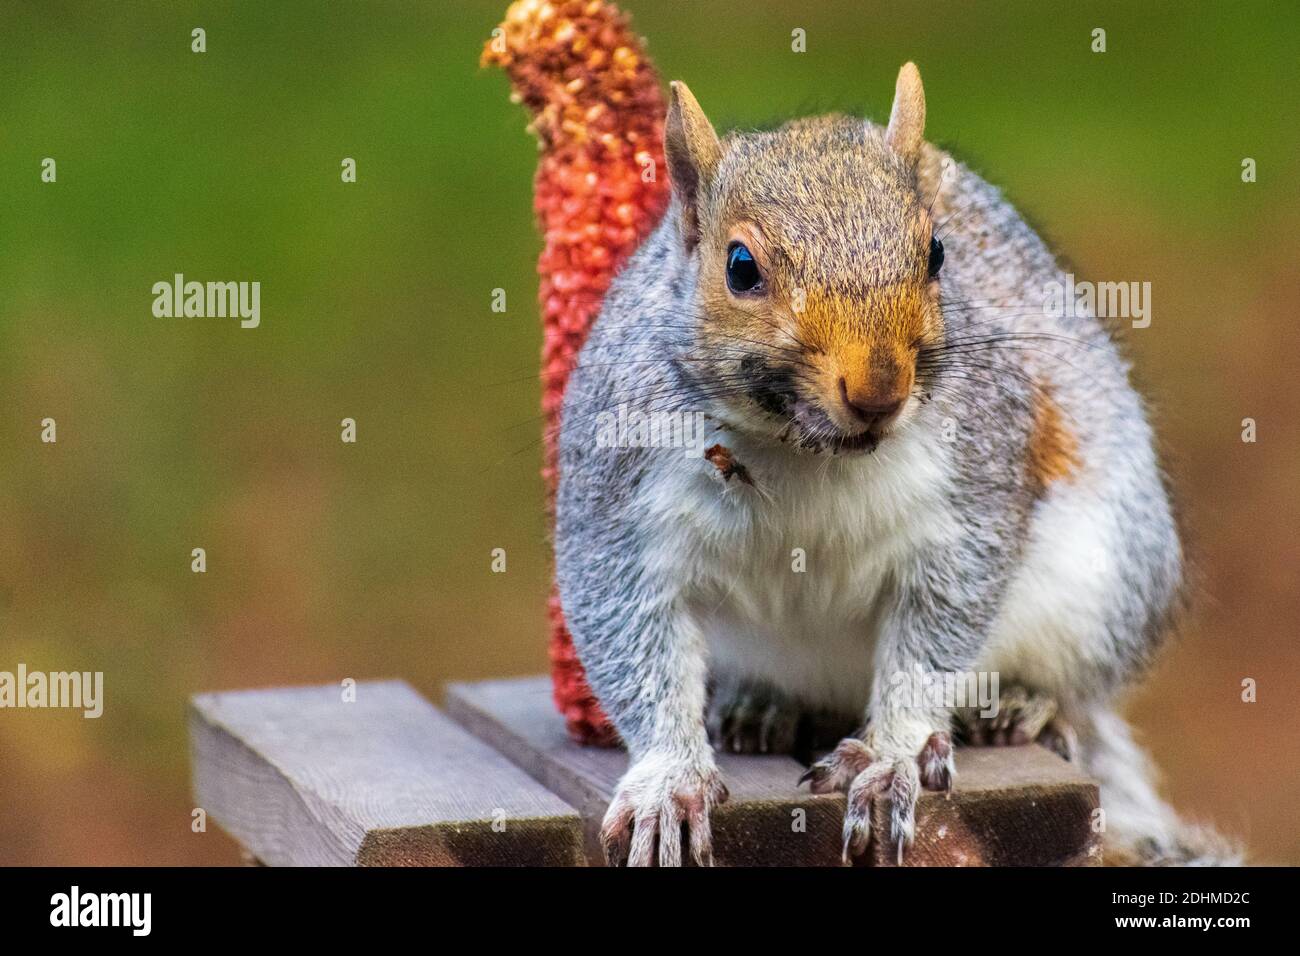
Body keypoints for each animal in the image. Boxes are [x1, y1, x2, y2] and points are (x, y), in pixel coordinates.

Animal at [554, 63, 1236, 867]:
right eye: (740, 267)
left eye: (936, 252)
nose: (880, 388)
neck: (805, 450)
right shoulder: (617, 505)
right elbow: (632, 639)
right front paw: (669, 781)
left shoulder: (968, 501)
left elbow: (933, 636)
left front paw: (889, 757)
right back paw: (760, 703)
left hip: (1104, 579)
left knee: (1074, 688)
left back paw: (1023, 702)